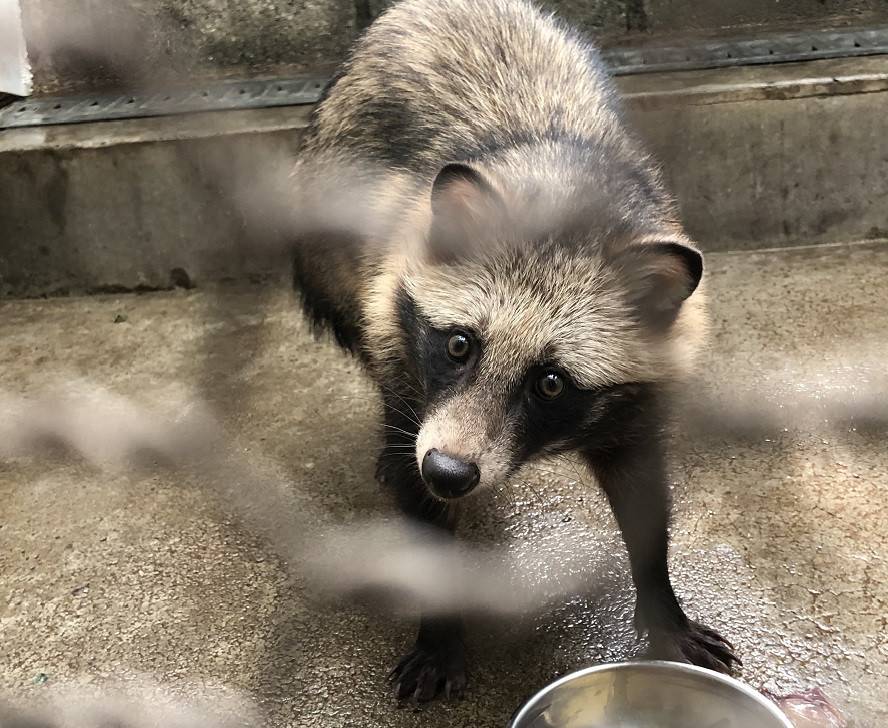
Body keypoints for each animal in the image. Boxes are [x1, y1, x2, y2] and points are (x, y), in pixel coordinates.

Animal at [290, 0, 736, 704]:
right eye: (459, 345)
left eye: (551, 382)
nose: (448, 473)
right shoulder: (407, 359)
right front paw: (440, 630)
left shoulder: (639, 399)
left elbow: (643, 493)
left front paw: (663, 601)